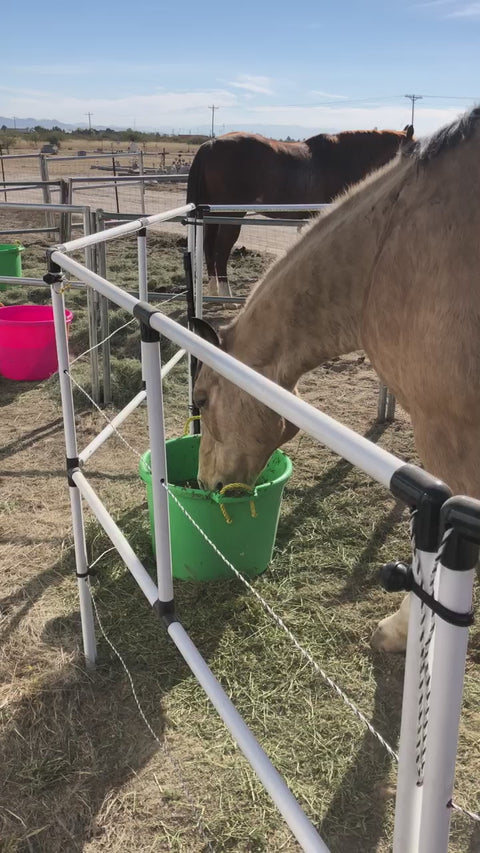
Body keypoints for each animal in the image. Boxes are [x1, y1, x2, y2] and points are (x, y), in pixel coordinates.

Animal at [187, 125, 414, 297]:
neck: (343, 159)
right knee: (221, 250)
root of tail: (210, 144)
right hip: (231, 216)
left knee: (209, 248)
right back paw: (226, 295)